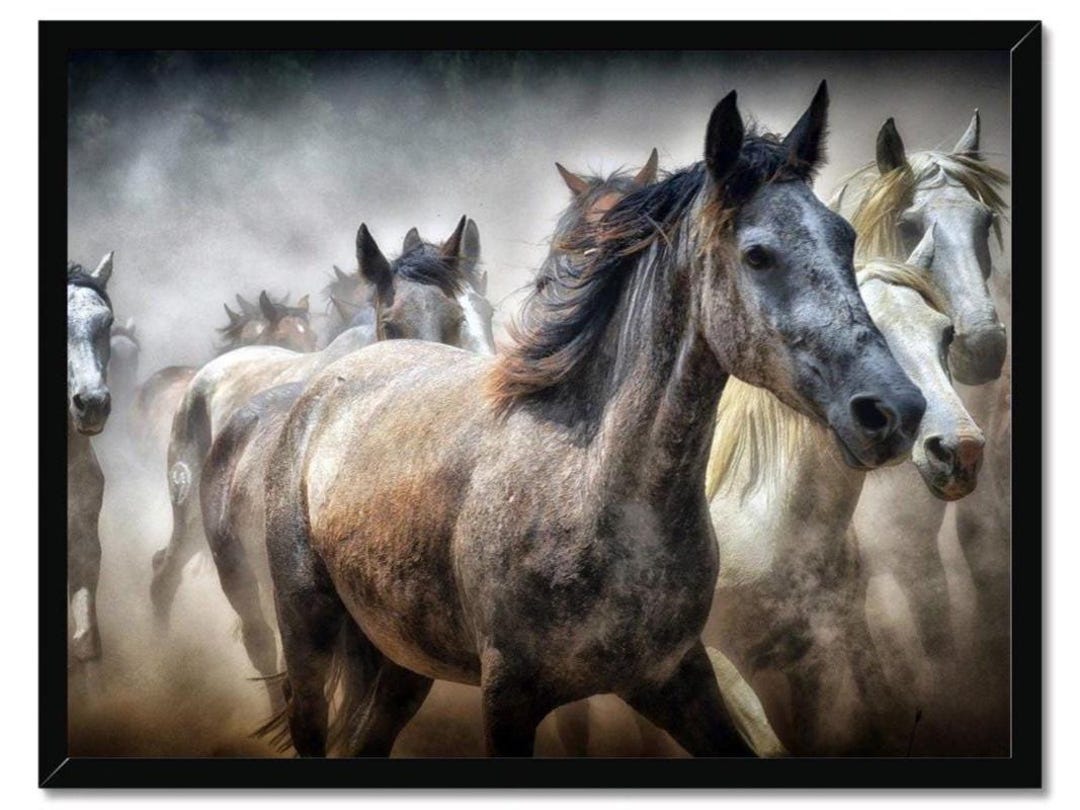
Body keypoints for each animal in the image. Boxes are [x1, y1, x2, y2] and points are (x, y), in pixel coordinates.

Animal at [260, 82, 926, 758]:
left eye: (845, 238)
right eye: (758, 254)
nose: (894, 410)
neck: (592, 487)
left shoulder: (674, 676)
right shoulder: (510, 698)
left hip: (403, 661)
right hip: (307, 627)